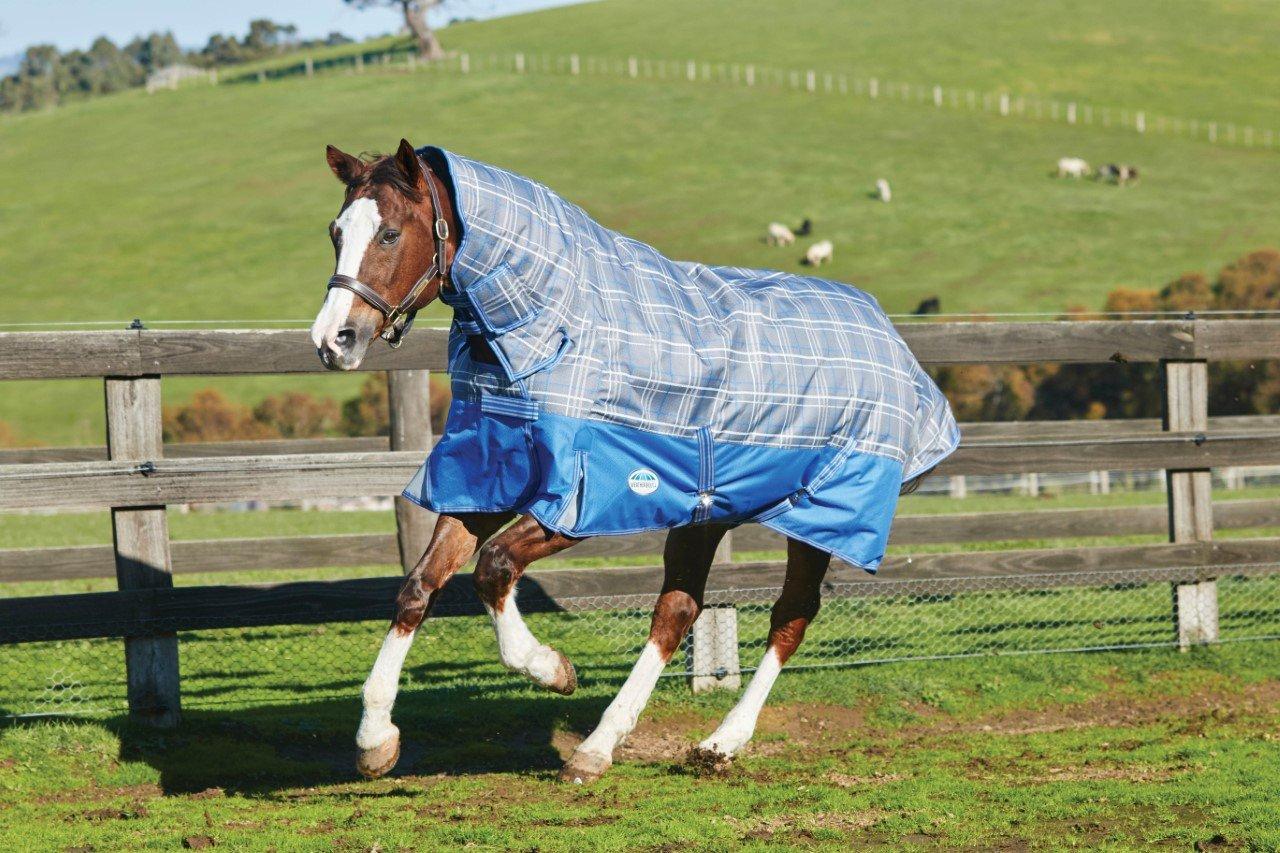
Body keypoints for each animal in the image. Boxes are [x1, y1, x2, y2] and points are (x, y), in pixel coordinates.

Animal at [311, 139, 959, 783]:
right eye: (336, 231)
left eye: (390, 233)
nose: (333, 340)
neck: (552, 326)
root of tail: (888, 335)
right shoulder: (483, 479)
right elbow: (419, 587)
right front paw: (375, 740)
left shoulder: (576, 500)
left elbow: (493, 567)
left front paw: (553, 669)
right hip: (707, 512)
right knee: (677, 611)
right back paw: (601, 746)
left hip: (819, 515)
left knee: (790, 616)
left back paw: (720, 742)